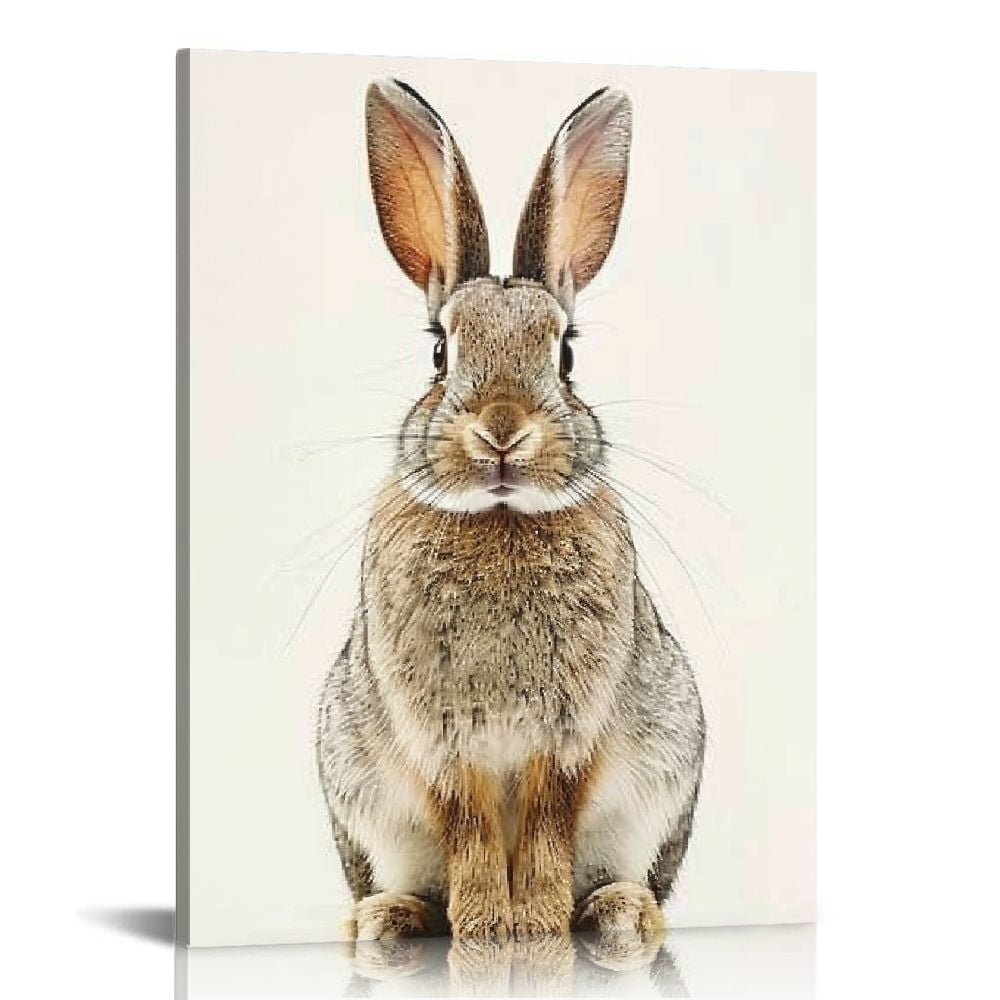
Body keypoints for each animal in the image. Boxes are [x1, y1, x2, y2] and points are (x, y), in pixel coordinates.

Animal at [317, 78, 705, 947]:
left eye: (566, 353)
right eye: (439, 352)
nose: (501, 429)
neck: (500, 518)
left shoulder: (565, 739)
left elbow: (547, 827)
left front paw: (534, 928)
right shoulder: (442, 741)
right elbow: (469, 828)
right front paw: (488, 929)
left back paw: (620, 915)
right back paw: (386, 922)